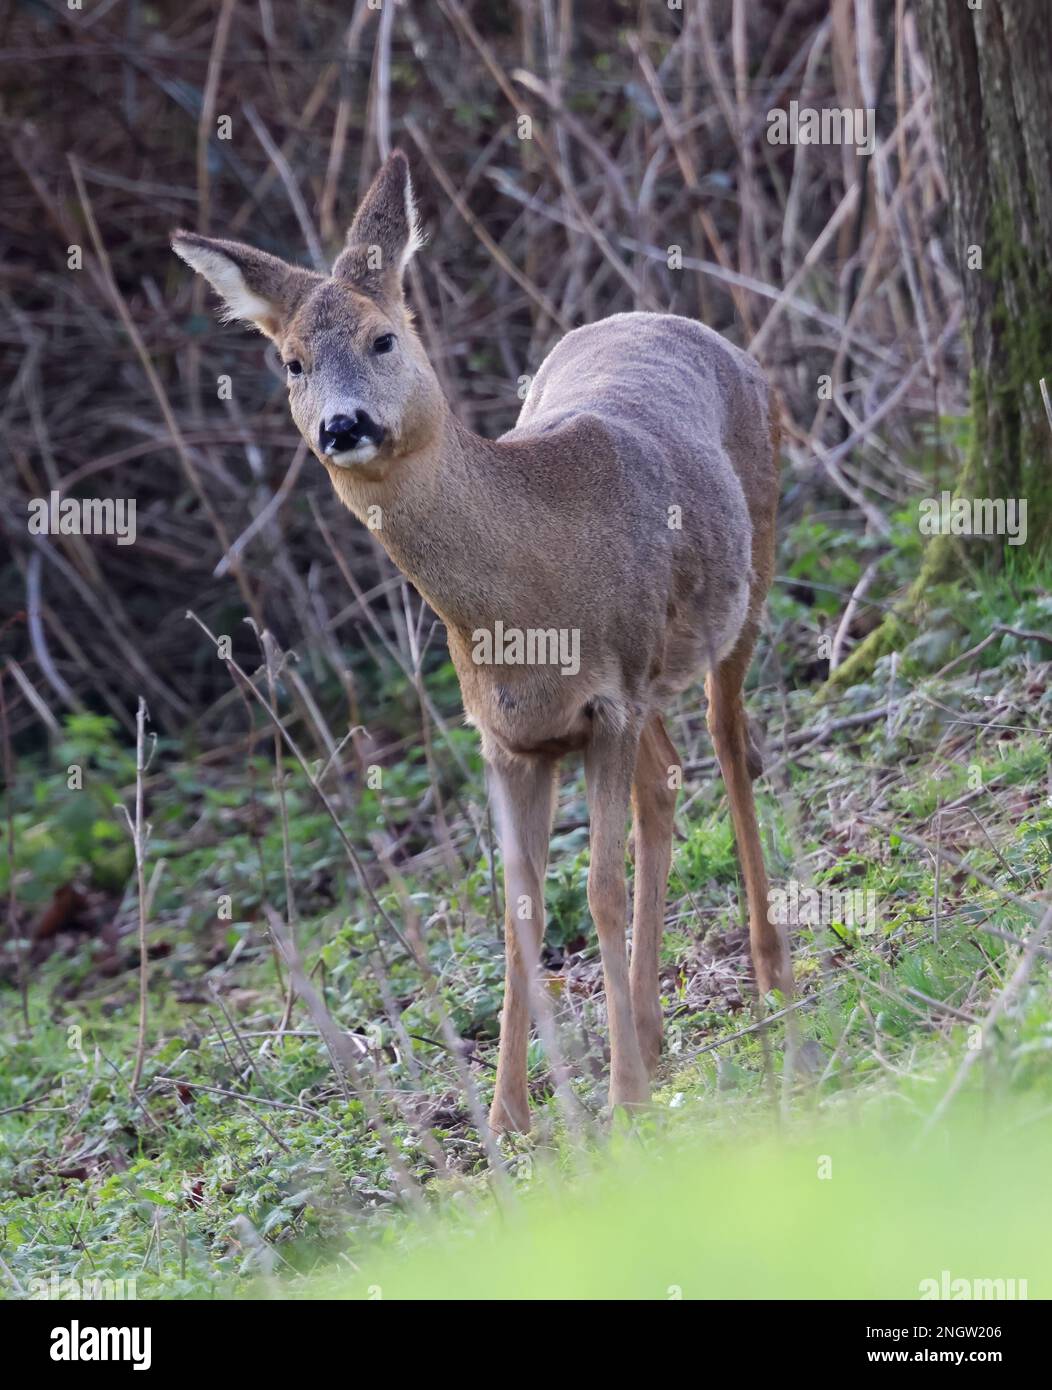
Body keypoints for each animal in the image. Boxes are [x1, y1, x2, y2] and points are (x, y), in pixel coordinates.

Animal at [172, 149, 791, 1134]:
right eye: (292, 362)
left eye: (384, 339)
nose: (341, 425)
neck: (523, 606)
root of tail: (672, 317)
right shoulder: (507, 736)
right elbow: (518, 907)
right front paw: (509, 1115)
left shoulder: (607, 705)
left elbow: (599, 889)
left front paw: (620, 1098)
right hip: (651, 672)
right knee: (665, 783)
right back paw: (652, 1030)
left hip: (753, 562)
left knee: (732, 746)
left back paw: (770, 974)